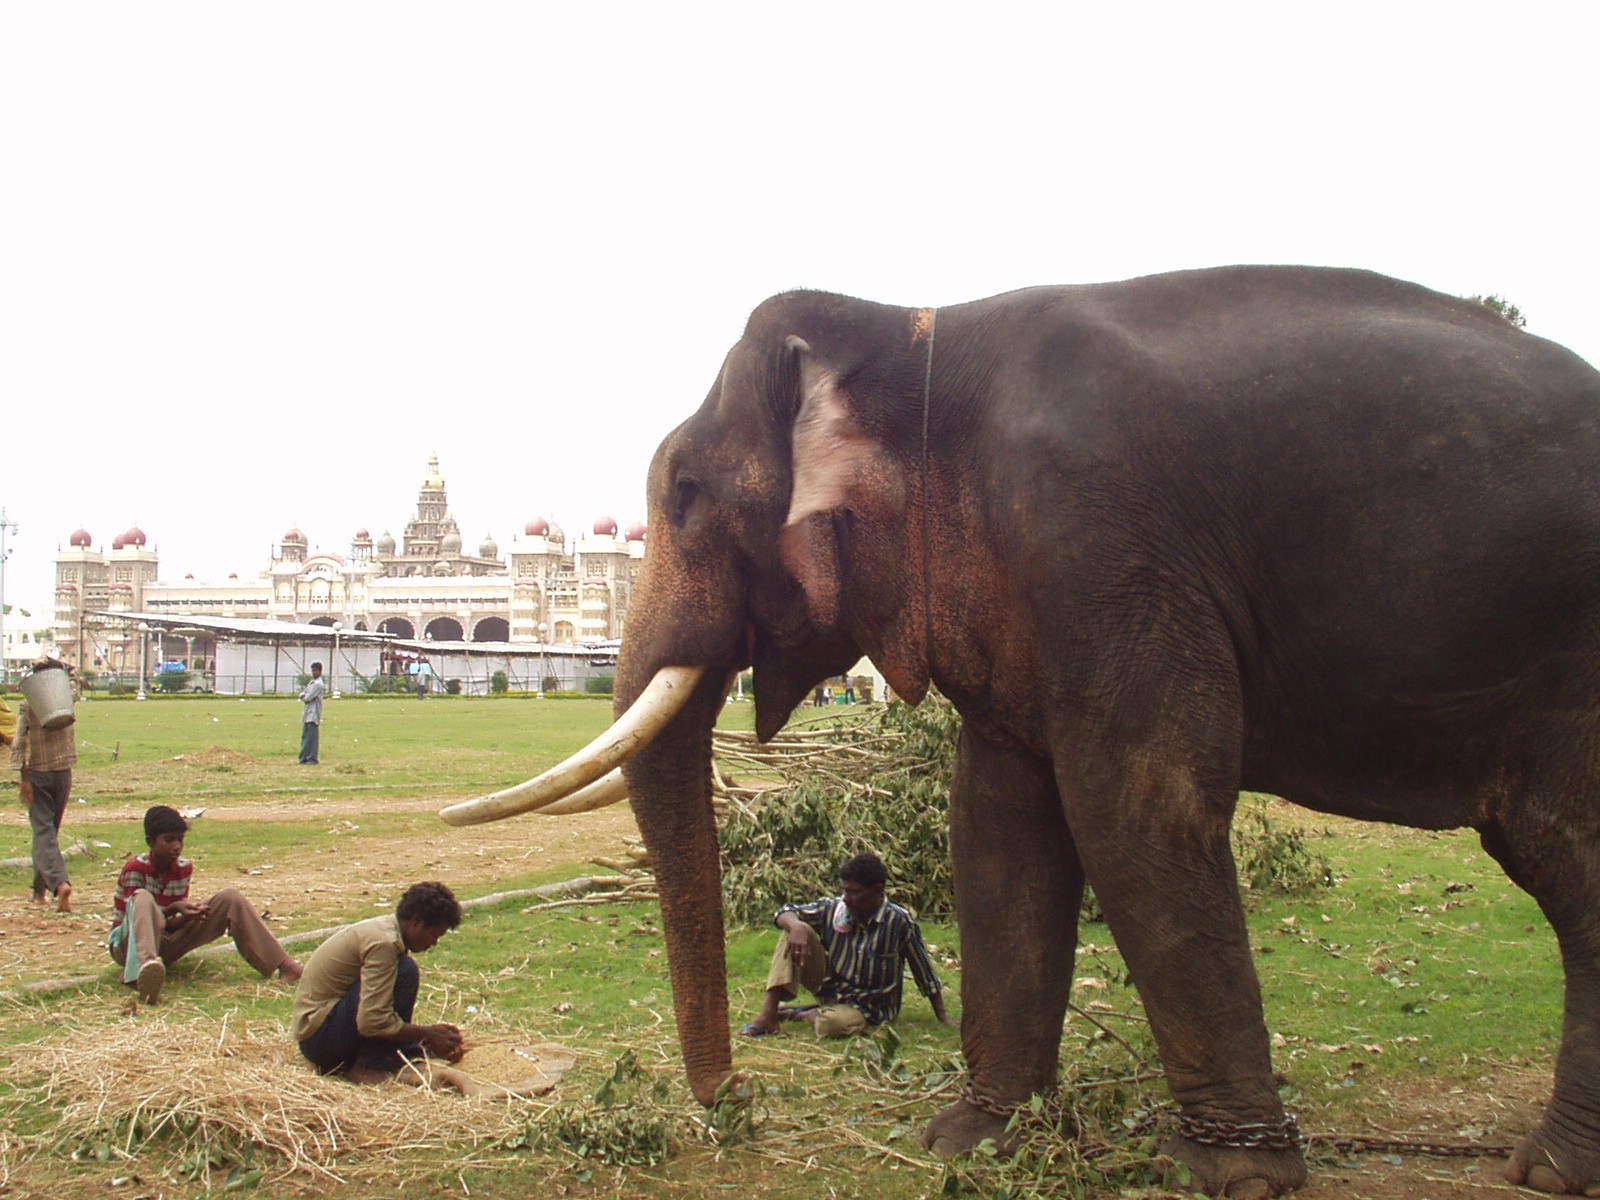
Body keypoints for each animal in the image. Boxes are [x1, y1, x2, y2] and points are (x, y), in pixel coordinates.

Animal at [442, 265, 1600, 1197]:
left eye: (683, 492)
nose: (733, 1102)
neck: (913, 331)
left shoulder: (1096, 539)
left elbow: (1137, 810)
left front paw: (1228, 1176)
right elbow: (997, 821)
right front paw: (974, 1141)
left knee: (1563, 854)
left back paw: (1547, 1168)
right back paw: (1551, 1166)